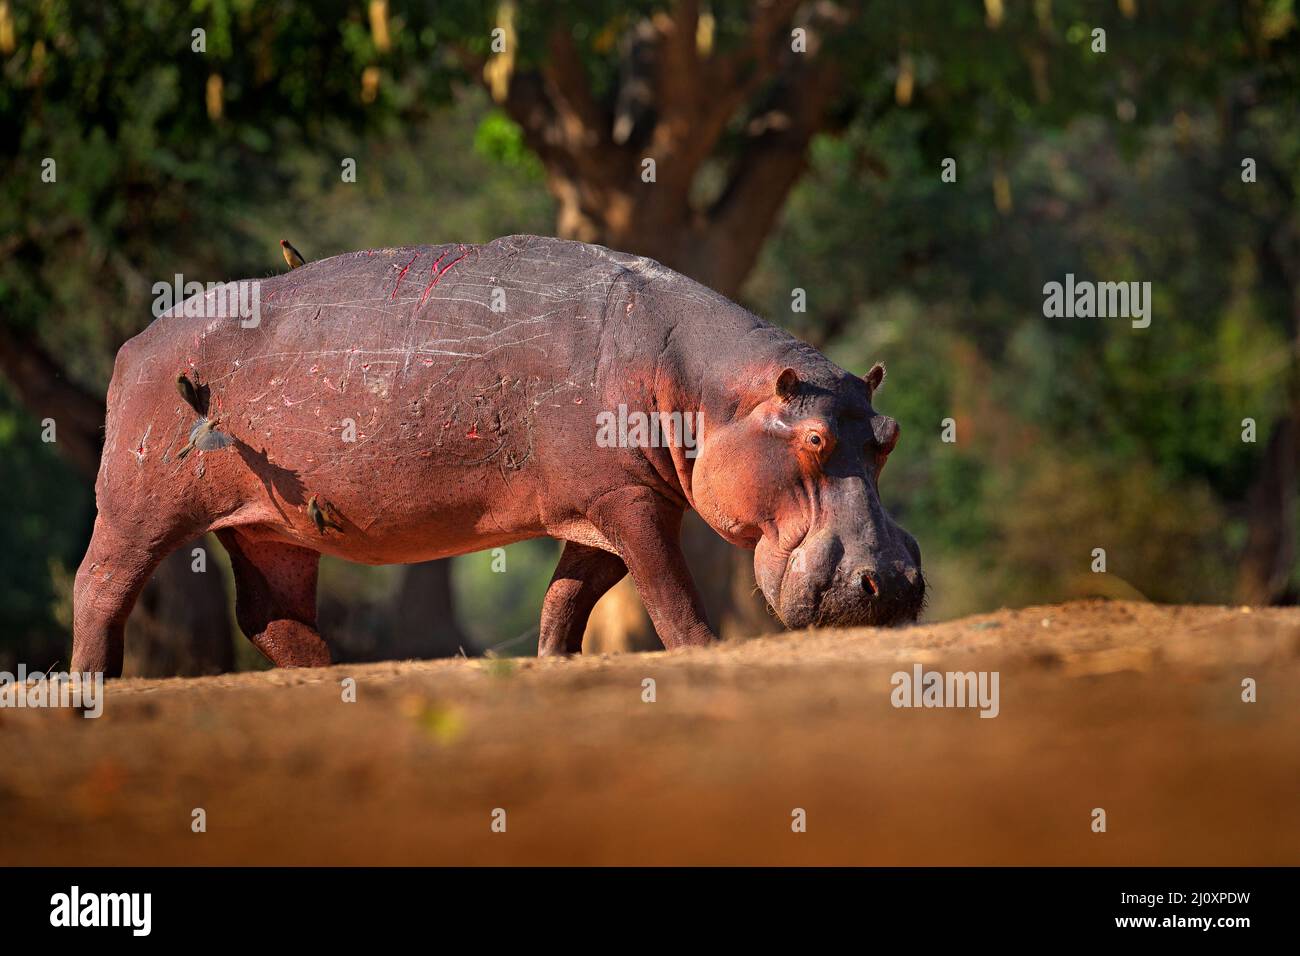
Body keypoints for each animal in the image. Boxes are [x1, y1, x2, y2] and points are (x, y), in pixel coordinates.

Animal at [72, 235, 923, 676]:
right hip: (138, 505)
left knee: (271, 613)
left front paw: (553, 663)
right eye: (814, 440)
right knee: (101, 587)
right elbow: (671, 596)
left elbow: (569, 597)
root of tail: (133, 344)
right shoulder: (629, 502)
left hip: (271, 527)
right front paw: (705, 654)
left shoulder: (604, 502)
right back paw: (90, 690)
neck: (707, 387)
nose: (890, 583)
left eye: (888, 436)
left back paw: (335, 674)